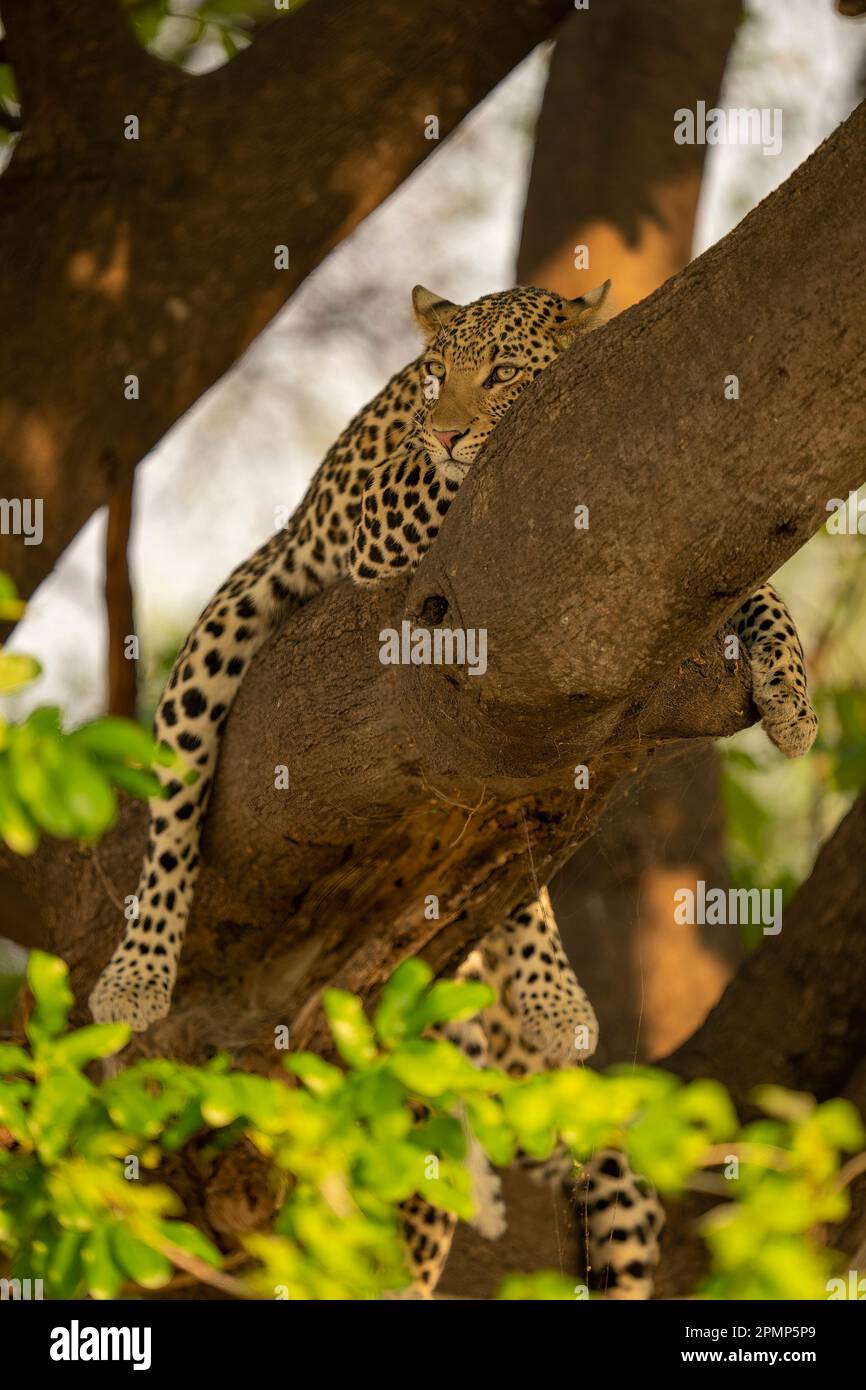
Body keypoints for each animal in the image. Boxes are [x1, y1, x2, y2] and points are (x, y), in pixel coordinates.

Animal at [89, 278, 818, 1298]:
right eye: (437, 376)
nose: (440, 430)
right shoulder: (389, 510)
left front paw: (790, 693)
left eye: (504, 373)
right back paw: (138, 975)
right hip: (231, 636)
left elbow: (762, 594)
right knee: (176, 818)